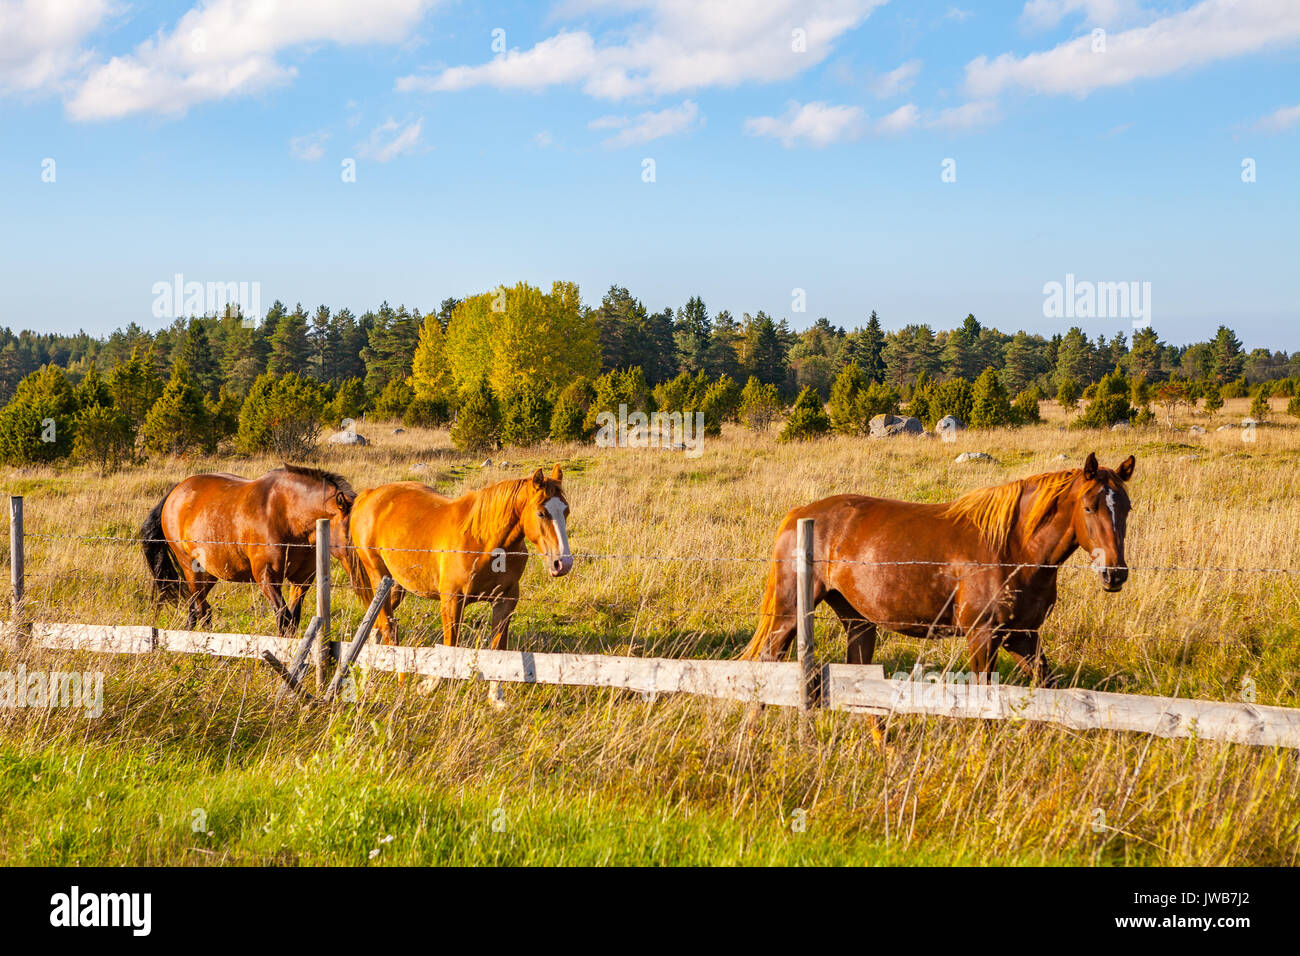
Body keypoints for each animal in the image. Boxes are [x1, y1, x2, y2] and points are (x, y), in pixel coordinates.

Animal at [141, 464, 356, 635]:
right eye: (349, 535)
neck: (287, 515)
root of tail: (175, 492)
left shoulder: (301, 580)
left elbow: (293, 620)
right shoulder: (266, 577)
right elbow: (283, 618)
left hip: (208, 574)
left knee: (194, 611)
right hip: (191, 570)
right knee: (203, 612)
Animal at [341, 465, 572, 651]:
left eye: (566, 511)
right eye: (541, 513)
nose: (563, 563)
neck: (484, 544)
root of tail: (369, 494)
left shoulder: (505, 601)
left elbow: (498, 650)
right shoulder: (452, 601)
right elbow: (451, 647)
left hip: (396, 585)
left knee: (378, 627)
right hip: (378, 576)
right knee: (389, 629)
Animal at [740, 453, 1135, 686]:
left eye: (1126, 507)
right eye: (1089, 507)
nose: (1114, 574)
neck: (1012, 551)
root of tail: (799, 513)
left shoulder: (1024, 637)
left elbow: (1047, 685)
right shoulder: (983, 636)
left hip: (857, 621)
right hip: (790, 614)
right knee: (767, 660)